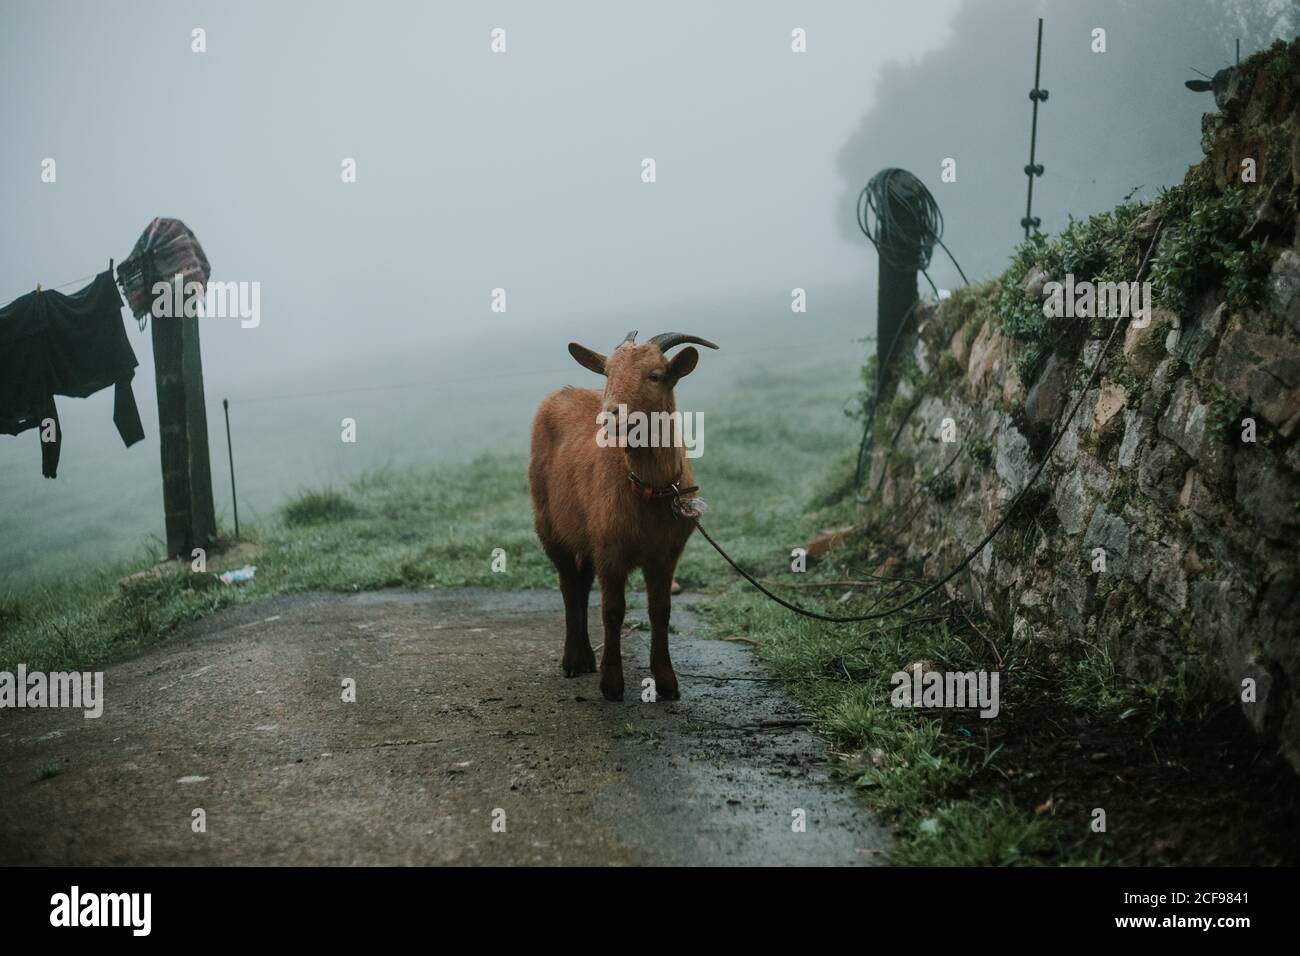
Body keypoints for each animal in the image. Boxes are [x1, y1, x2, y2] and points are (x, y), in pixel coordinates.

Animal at [528, 330, 718, 702]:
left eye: (655, 375)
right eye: (607, 374)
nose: (610, 416)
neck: (650, 492)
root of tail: (561, 392)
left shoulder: (667, 553)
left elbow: (660, 611)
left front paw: (667, 681)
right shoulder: (610, 550)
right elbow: (613, 611)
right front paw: (612, 684)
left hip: (586, 534)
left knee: (581, 582)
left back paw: (585, 657)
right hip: (547, 523)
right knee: (568, 584)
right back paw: (573, 660)